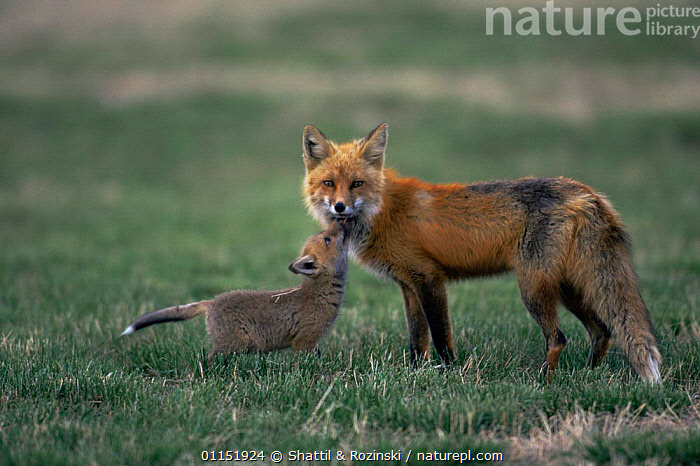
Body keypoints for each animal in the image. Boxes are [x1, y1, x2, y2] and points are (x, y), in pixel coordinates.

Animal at [121, 221, 349, 357]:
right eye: (327, 239)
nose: (340, 220)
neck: (318, 294)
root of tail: (212, 302)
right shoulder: (305, 340)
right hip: (232, 346)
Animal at [301, 123, 661, 382]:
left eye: (357, 184)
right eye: (329, 183)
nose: (340, 207)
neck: (382, 212)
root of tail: (586, 193)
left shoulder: (429, 279)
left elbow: (441, 337)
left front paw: (448, 375)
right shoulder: (407, 285)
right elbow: (417, 339)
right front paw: (416, 373)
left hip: (534, 288)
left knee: (558, 338)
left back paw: (543, 382)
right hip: (569, 287)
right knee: (602, 331)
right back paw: (588, 374)